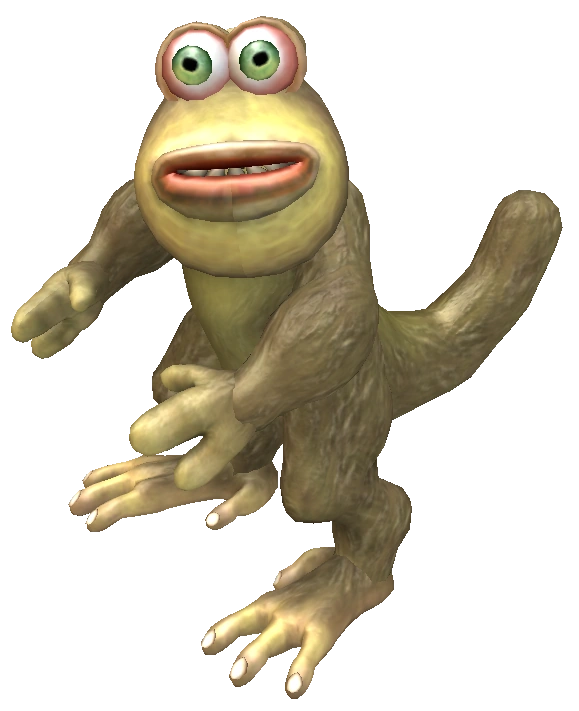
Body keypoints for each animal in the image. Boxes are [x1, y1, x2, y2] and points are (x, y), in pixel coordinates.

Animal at [11, 17, 562, 699]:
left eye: (263, 59)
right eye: (188, 65)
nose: (226, 127)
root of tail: (391, 344)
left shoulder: (345, 215)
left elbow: (337, 310)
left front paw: (222, 406)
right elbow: (131, 219)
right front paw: (68, 294)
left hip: (349, 397)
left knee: (324, 489)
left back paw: (321, 595)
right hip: (197, 348)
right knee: (180, 389)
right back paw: (199, 475)